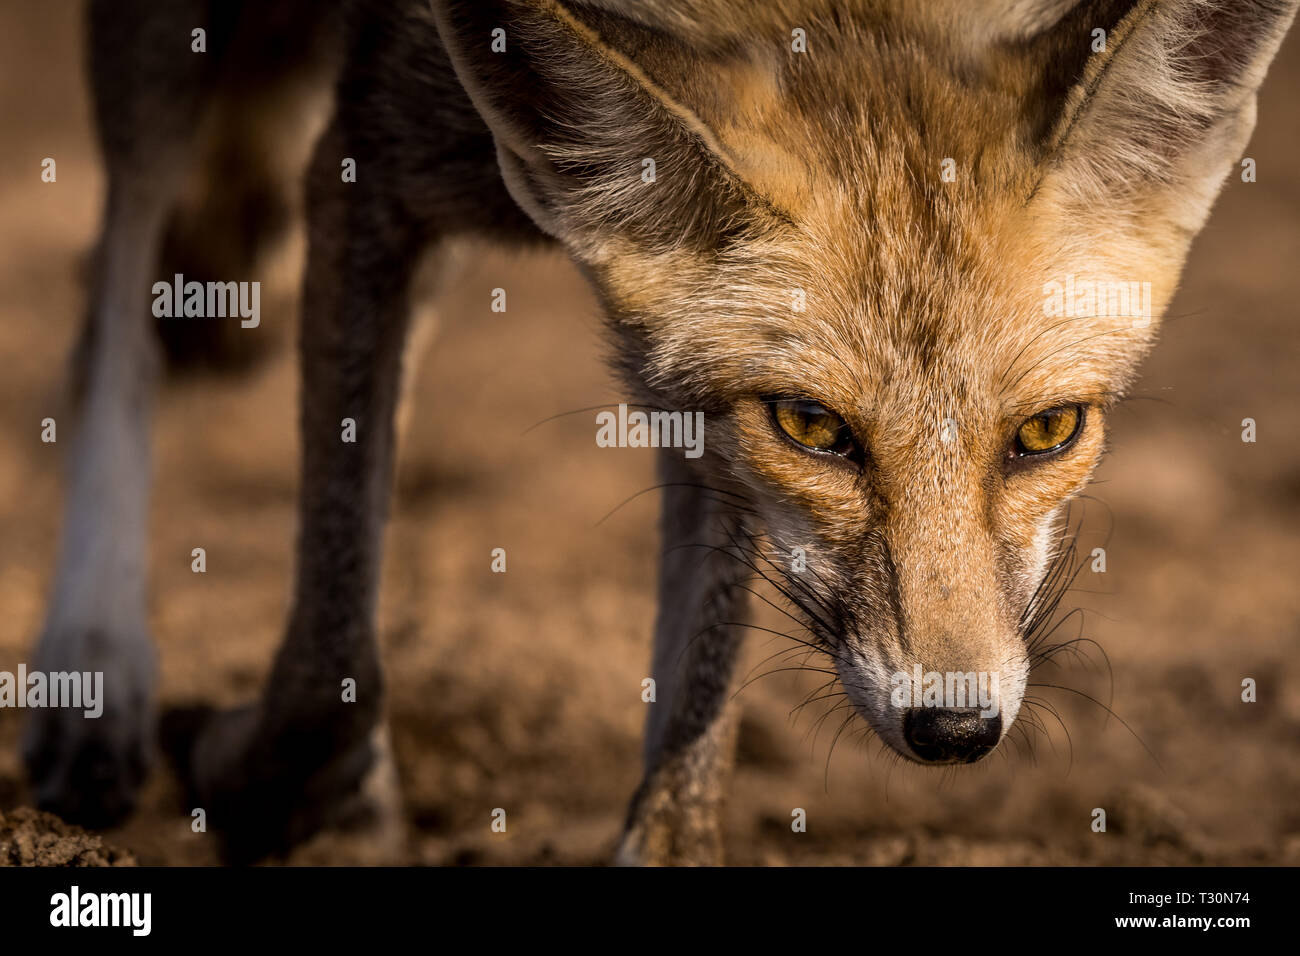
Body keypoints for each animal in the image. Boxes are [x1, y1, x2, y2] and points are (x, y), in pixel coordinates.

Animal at [21, 0, 1298, 865]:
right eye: (813, 425)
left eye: (1046, 429)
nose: (954, 725)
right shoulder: (376, 157)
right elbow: (333, 645)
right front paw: (256, 780)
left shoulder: (694, 412)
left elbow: (698, 693)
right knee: (115, 297)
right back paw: (93, 673)